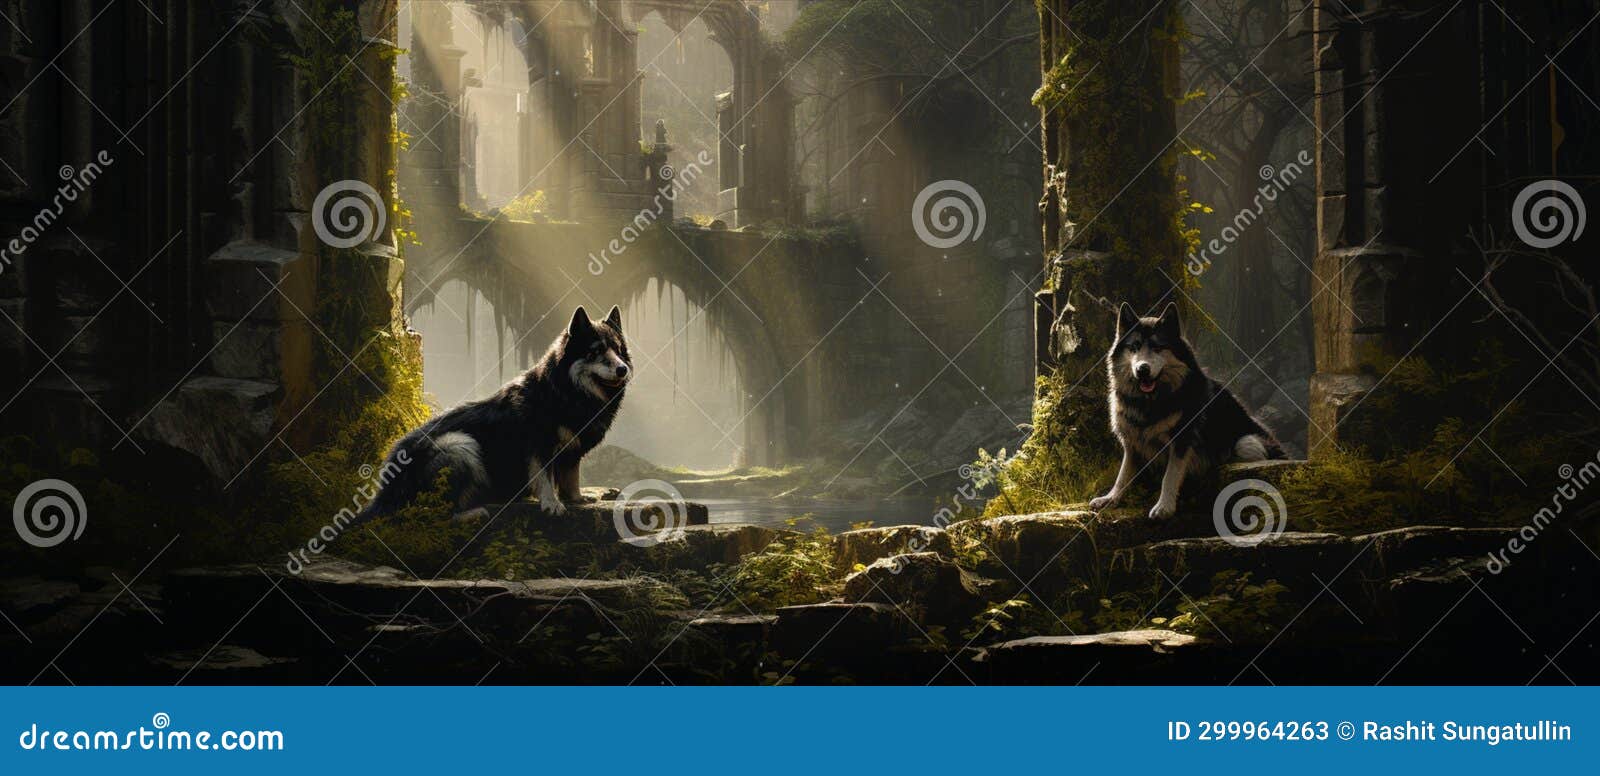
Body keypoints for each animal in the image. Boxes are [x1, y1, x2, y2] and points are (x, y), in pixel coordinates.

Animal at [357, 305, 632, 522]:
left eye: (618, 350)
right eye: (594, 352)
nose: (622, 369)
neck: (565, 391)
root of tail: (385, 491)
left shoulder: (571, 453)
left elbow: (570, 479)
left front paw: (577, 498)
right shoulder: (538, 446)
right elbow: (543, 477)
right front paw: (551, 503)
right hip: (459, 445)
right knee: (433, 513)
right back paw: (472, 513)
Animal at [1088, 302, 1285, 519]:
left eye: (1158, 348)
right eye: (1134, 347)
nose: (1142, 369)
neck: (1150, 402)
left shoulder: (1181, 441)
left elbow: (1170, 476)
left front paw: (1164, 506)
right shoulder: (1132, 444)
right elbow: (1123, 475)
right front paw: (1110, 498)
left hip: (1247, 443)